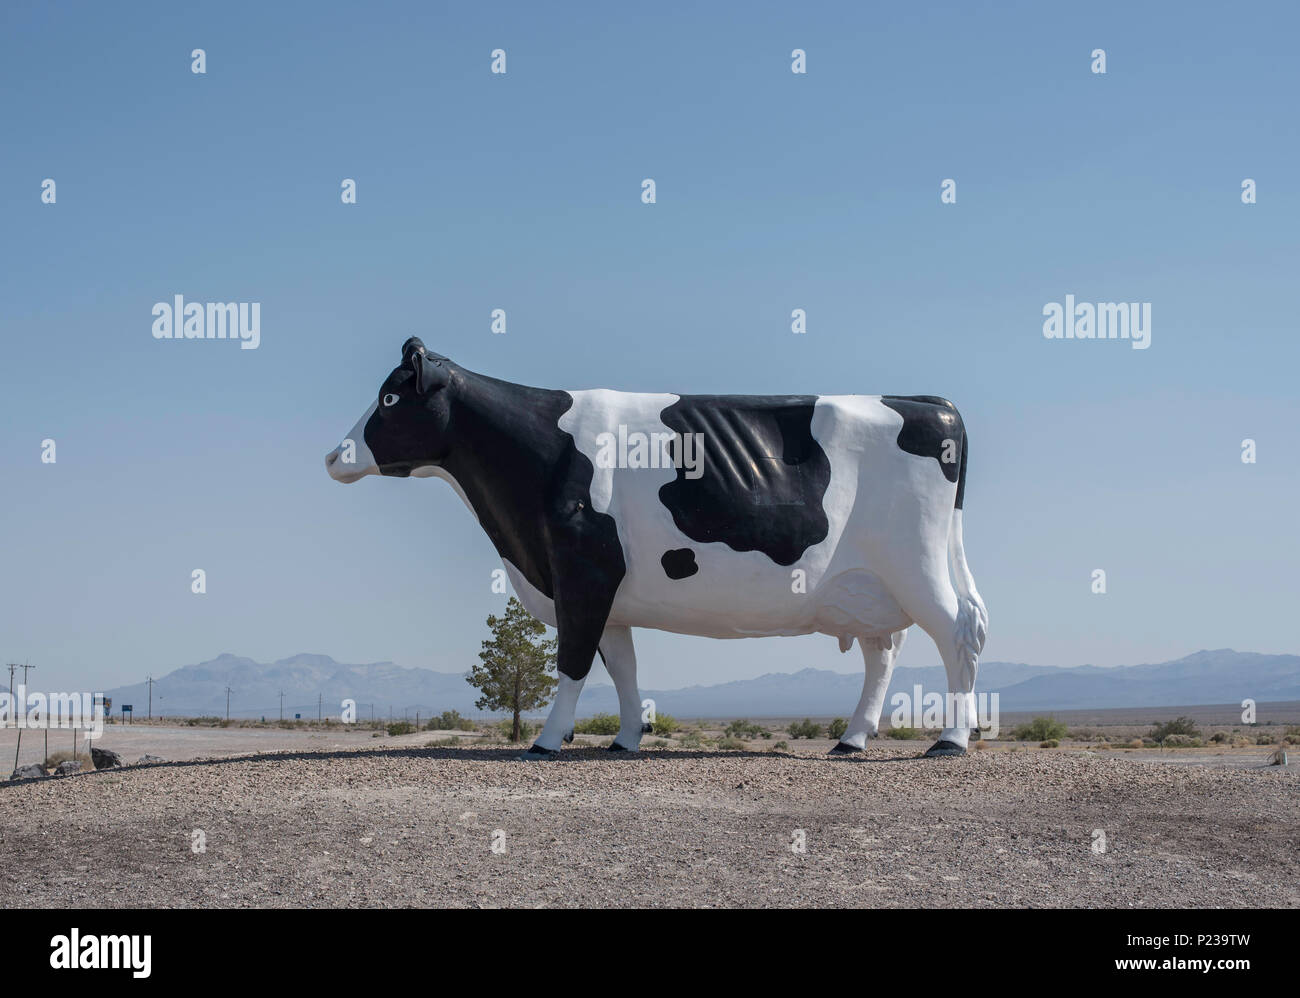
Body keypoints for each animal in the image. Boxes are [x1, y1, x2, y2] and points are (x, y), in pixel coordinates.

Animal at [325, 338, 988, 760]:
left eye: (389, 399)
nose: (333, 455)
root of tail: (932, 403)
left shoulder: (582, 571)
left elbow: (573, 661)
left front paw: (546, 742)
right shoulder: (607, 592)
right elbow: (622, 666)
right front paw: (624, 739)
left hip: (915, 565)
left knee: (956, 632)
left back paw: (949, 742)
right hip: (865, 582)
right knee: (884, 653)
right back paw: (850, 740)